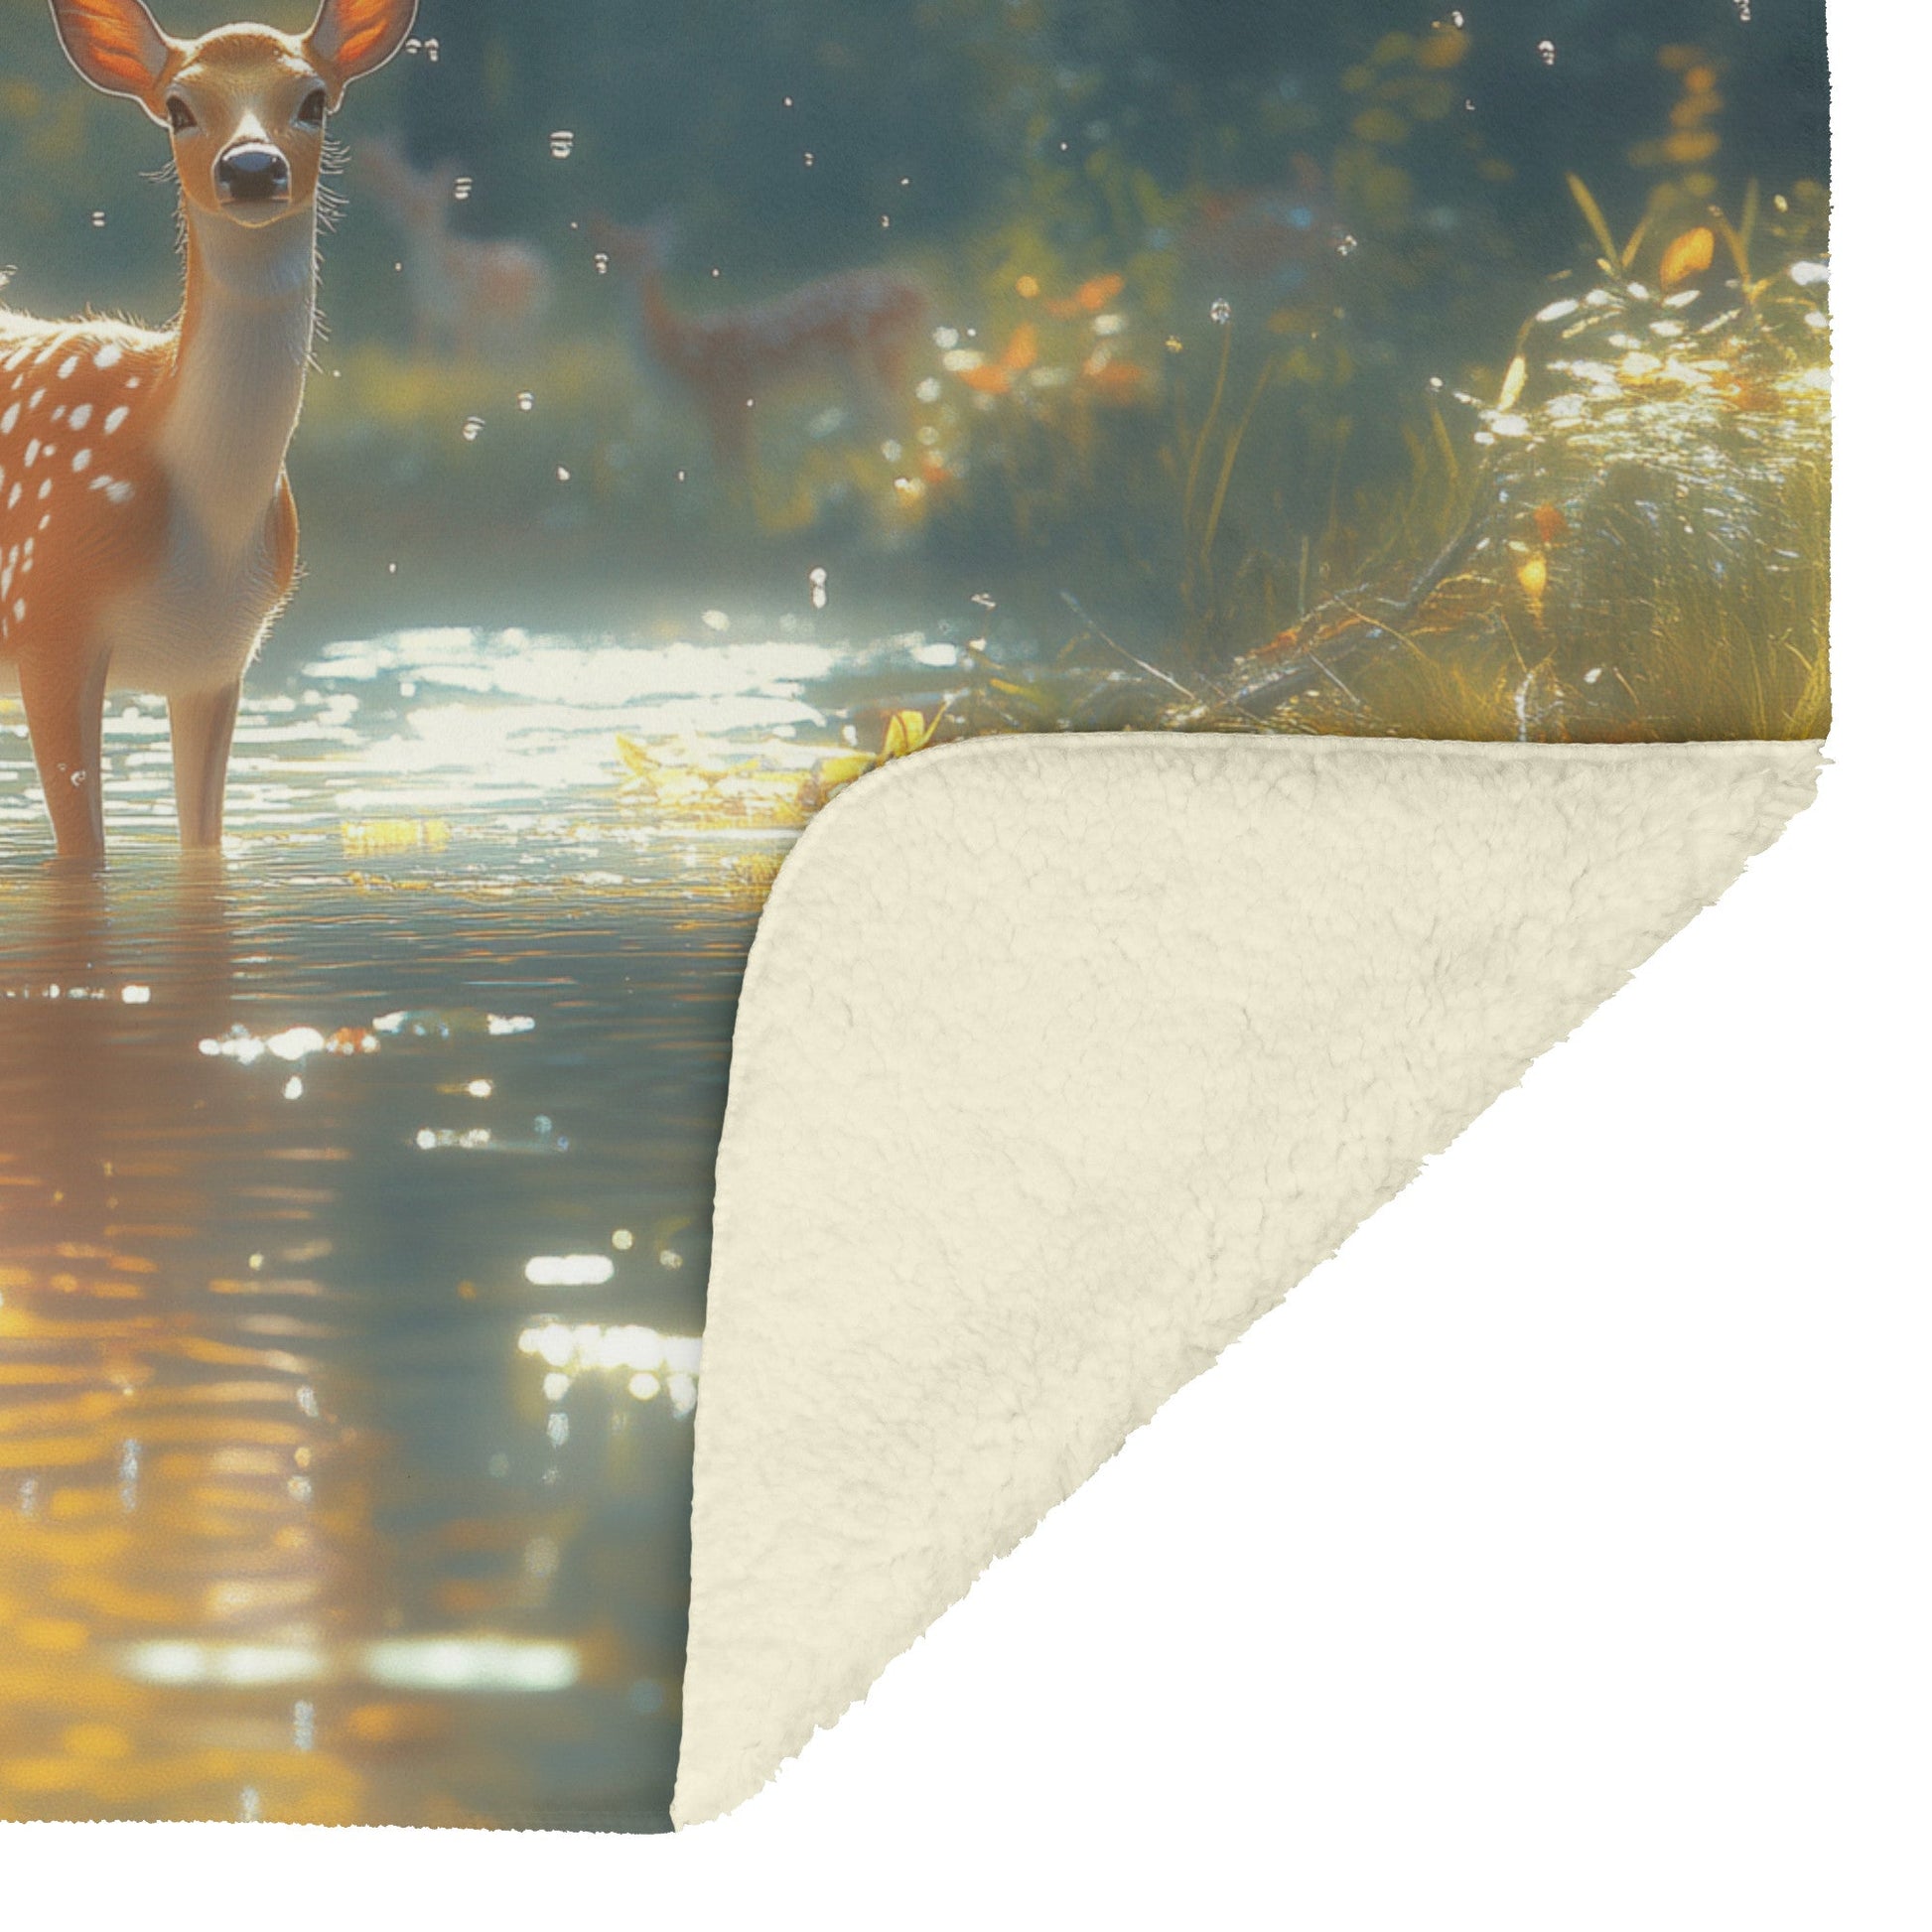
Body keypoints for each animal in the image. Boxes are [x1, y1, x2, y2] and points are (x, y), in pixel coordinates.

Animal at [0, 0, 418, 864]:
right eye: (178, 107)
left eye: (314, 99)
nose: (252, 168)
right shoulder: (48, 616)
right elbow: (83, 858)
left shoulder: (217, 658)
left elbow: (204, 844)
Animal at [356, 132, 554, 361]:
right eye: (412, 201)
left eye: (434, 204)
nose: (407, 216)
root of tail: (542, 264)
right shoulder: (425, 313)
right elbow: (422, 357)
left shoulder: (465, 313)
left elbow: (463, 360)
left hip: (522, 317)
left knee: (526, 352)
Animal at [591, 216, 930, 485]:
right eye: (618, 250)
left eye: (637, 250)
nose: (613, 269)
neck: (675, 351)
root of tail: (920, 295)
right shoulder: (729, 402)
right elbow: (735, 463)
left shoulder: (725, 394)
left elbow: (734, 467)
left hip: (868, 359)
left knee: (890, 417)